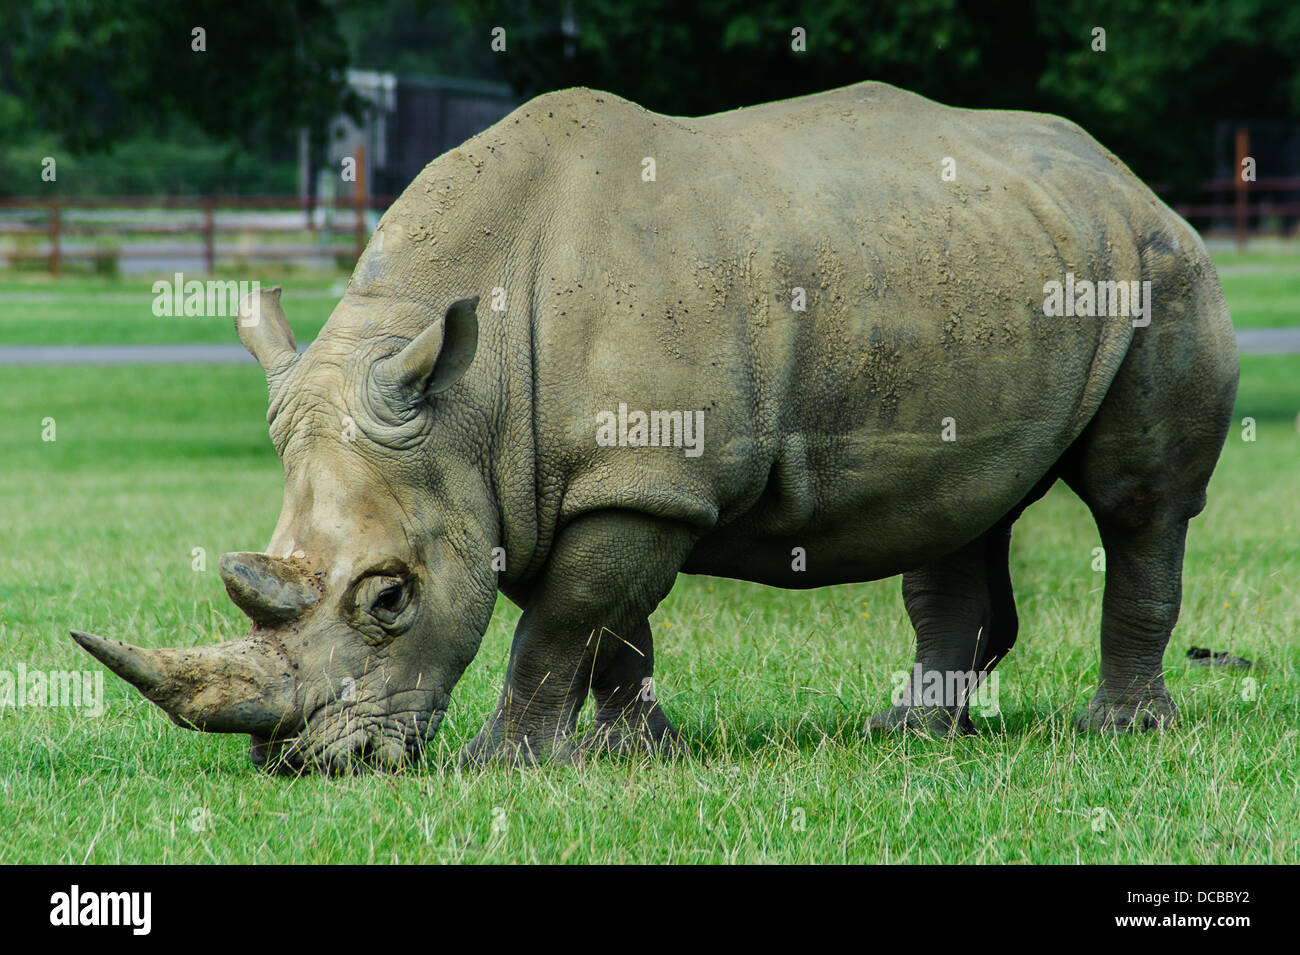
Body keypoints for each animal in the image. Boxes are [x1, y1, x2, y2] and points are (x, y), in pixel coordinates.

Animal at [72, 82, 1237, 773]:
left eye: (391, 598)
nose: (310, 763)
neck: (469, 392)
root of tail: (1121, 170)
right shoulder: (565, 477)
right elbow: (607, 630)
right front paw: (640, 753)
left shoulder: (635, 476)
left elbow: (559, 628)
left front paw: (501, 764)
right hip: (991, 260)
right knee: (955, 504)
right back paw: (905, 732)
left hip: (1157, 272)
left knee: (1139, 502)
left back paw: (1121, 731)